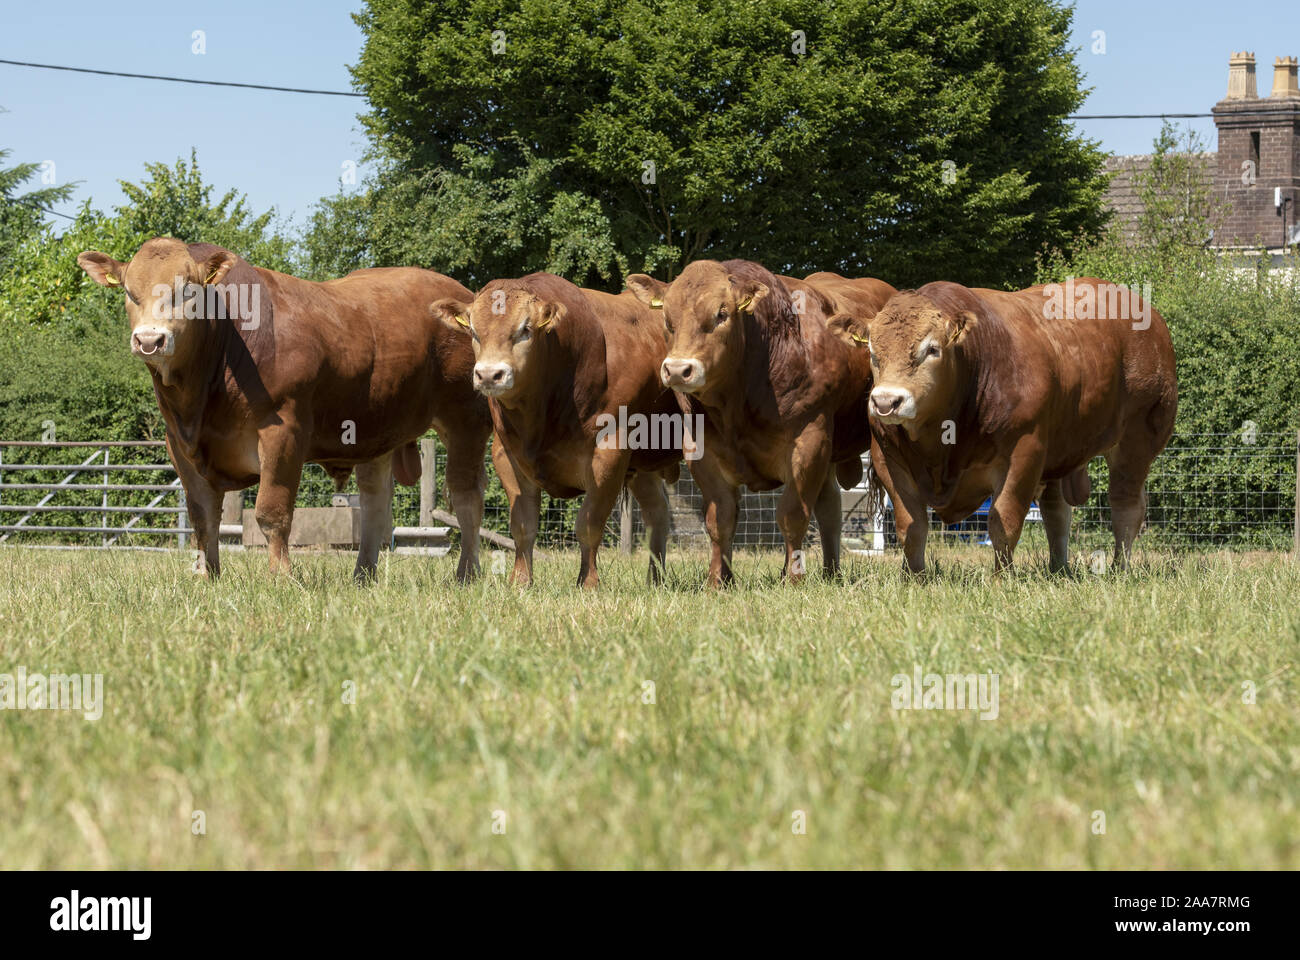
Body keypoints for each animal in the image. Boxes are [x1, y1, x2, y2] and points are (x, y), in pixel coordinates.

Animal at [77, 237, 492, 582]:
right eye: (129, 292)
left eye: (188, 291)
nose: (150, 340)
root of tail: (462, 295)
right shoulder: (179, 444)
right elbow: (202, 518)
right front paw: (207, 576)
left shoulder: (283, 430)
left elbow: (271, 512)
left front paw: (282, 577)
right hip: (377, 427)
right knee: (375, 504)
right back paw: (363, 576)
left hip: (466, 419)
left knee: (466, 497)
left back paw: (466, 575)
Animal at [430, 272, 681, 588]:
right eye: (474, 331)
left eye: (525, 329)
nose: (489, 374)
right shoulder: (506, 456)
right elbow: (523, 525)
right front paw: (520, 581)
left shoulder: (609, 456)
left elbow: (589, 524)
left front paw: (588, 582)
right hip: (643, 464)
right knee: (657, 512)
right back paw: (656, 580)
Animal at [625, 260, 895, 587]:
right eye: (667, 318)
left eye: (721, 313)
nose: (678, 370)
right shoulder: (701, 451)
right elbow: (720, 519)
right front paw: (717, 582)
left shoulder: (810, 441)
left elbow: (792, 516)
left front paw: (793, 579)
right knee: (829, 507)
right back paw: (830, 573)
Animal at [827, 278, 1178, 574]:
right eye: (872, 351)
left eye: (932, 349)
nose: (886, 401)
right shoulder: (889, 460)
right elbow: (911, 526)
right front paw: (915, 578)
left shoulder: (1023, 453)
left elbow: (1003, 521)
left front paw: (1001, 578)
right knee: (1057, 511)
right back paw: (1058, 569)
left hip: (1137, 440)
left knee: (1126, 506)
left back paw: (1119, 569)